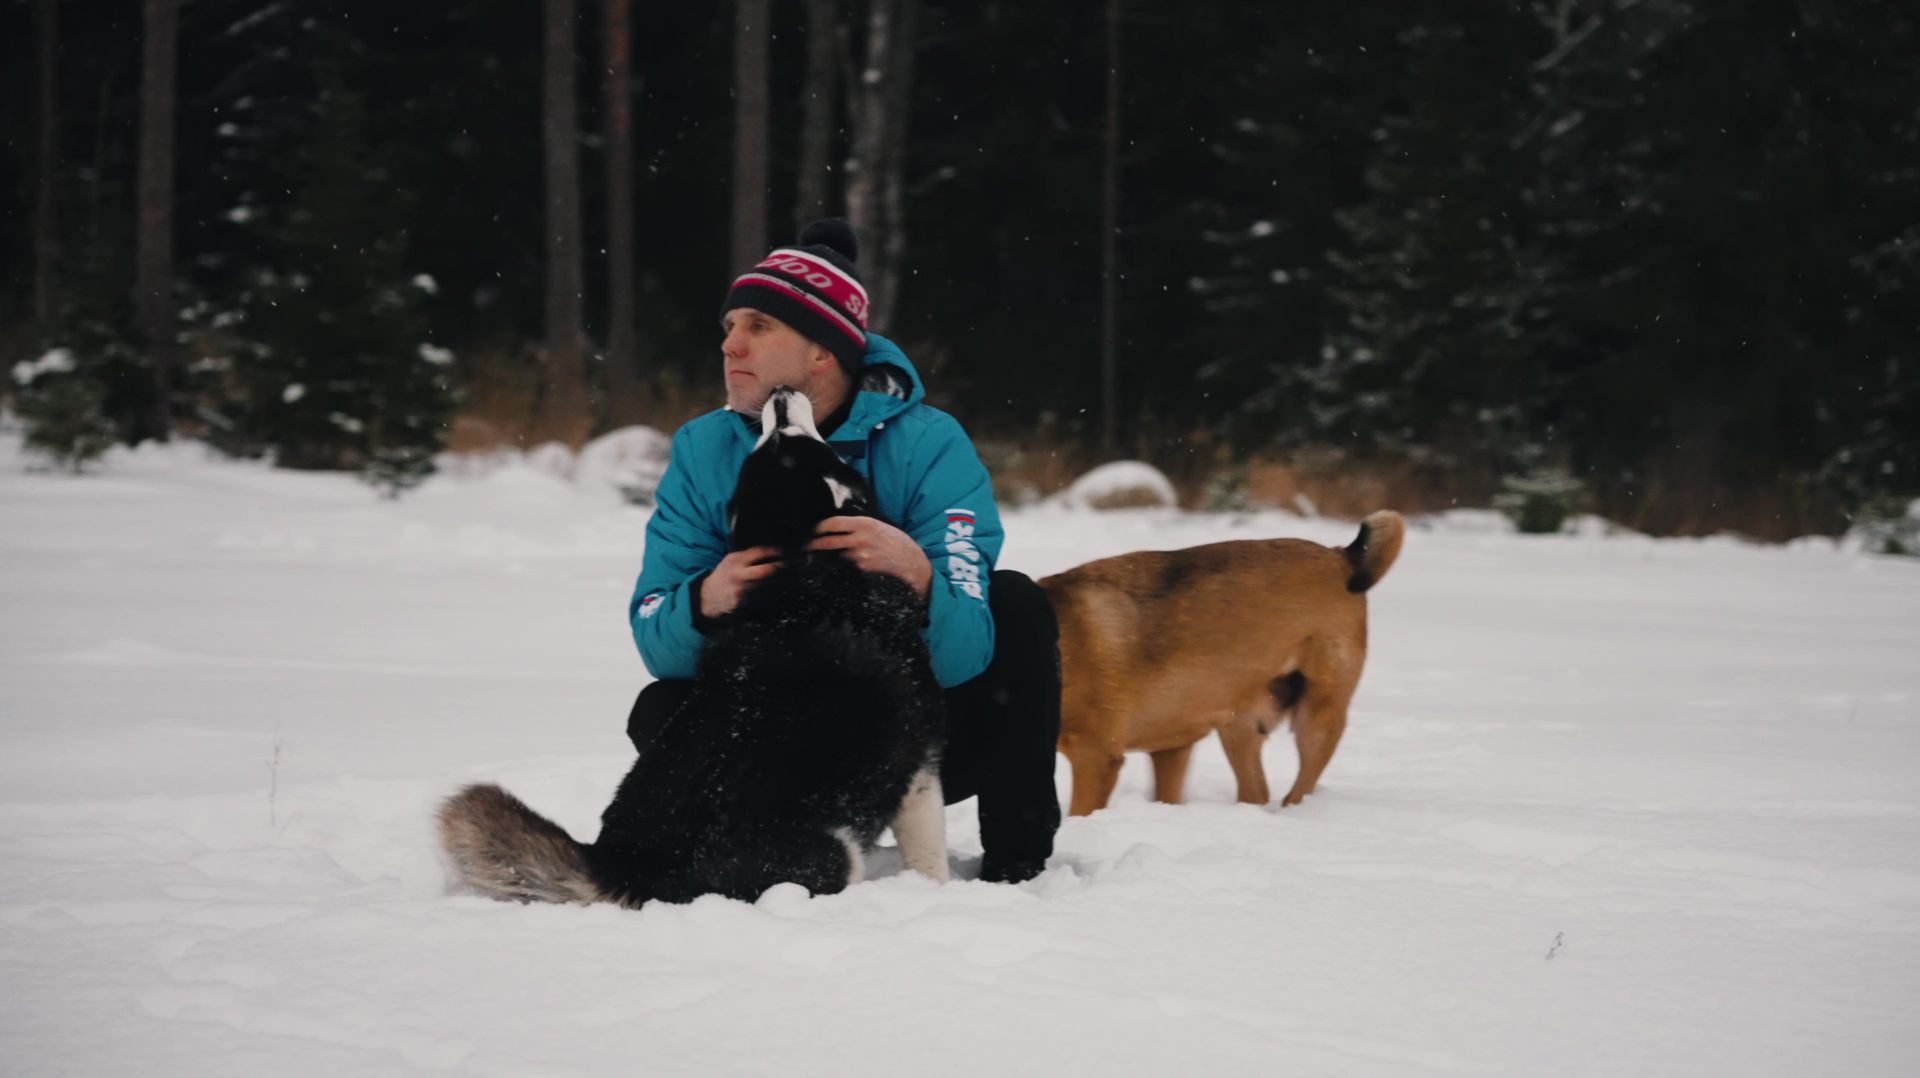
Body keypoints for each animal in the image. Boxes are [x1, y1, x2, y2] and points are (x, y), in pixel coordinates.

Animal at [437, 387, 948, 907]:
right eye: (784, 440)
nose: (779, 393)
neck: (802, 555)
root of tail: (623, 863)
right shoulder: (919, 763)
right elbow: (930, 856)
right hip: (832, 850)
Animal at [1041, 511, 1403, 815]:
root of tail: (1342, 556)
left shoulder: (1096, 758)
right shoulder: (1171, 747)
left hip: (1315, 714)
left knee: (1299, 787)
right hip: (1239, 723)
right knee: (1256, 791)